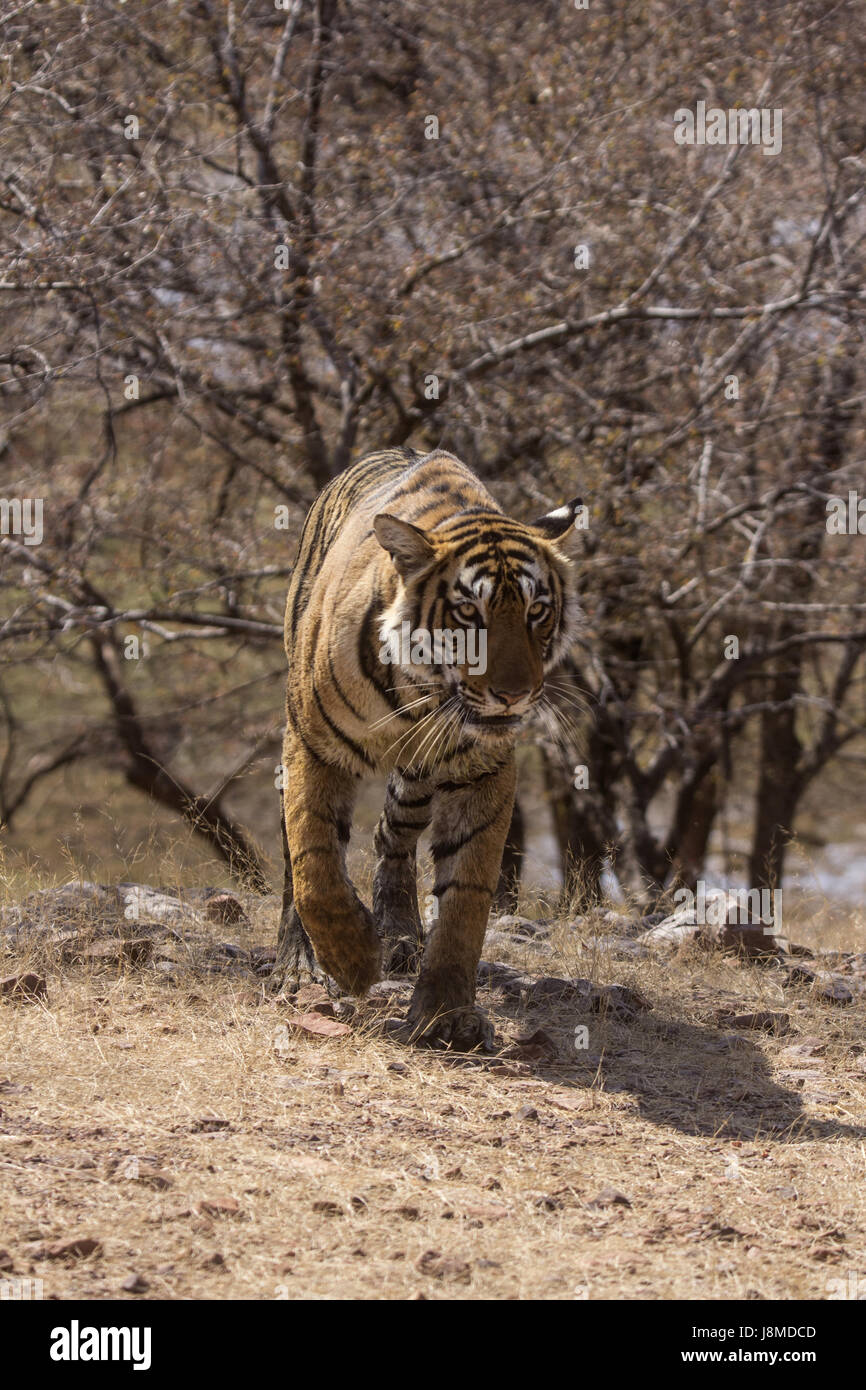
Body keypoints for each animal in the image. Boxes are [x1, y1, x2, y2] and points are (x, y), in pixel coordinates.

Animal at [271, 446, 581, 1049]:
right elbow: (314, 863)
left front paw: (447, 1014)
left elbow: (466, 897)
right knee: (299, 859)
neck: (422, 691)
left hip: (415, 778)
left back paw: (399, 933)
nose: (514, 694)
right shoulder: (313, 747)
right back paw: (301, 960)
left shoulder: (484, 770)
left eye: (536, 612)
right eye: (468, 613)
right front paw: (351, 961)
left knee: (389, 836)